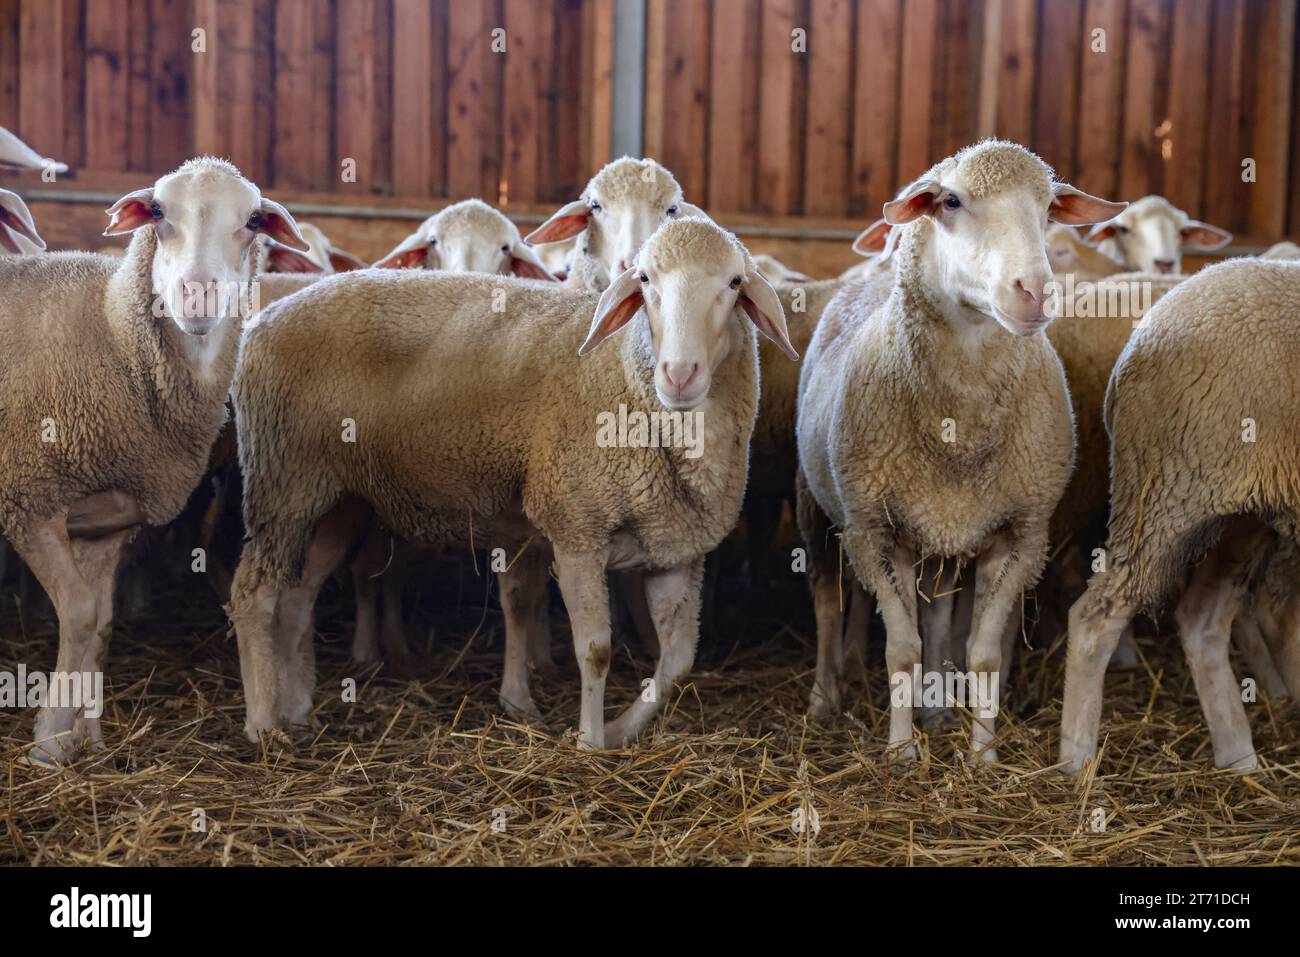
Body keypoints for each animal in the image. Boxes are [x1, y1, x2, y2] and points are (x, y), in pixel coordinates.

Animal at [0, 156, 308, 764]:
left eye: (253, 220)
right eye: (159, 212)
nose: (198, 294)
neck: (114, 335)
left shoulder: (107, 519)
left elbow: (100, 624)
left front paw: (85, 737)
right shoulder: (30, 499)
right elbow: (78, 613)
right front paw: (49, 743)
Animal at [226, 216, 797, 748]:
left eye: (735, 283)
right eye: (645, 279)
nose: (679, 374)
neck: (623, 376)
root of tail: (264, 320)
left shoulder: (672, 547)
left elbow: (677, 661)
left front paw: (619, 729)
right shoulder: (576, 528)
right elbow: (595, 649)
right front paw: (589, 741)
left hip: (339, 499)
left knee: (297, 599)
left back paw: (299, 711)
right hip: (284, 480)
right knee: (253, 595)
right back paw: (263, 724)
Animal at [795, 140, 1125, 761]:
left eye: (1049, 208)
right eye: (950, 201)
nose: (1035, 291)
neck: (960, 428)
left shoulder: (1020, 534)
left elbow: (982, 653)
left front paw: (983, 755)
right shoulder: (875, 531)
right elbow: (901, 649)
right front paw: (900, 755)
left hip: (943, 532)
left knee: (939, 615)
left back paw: (938, 710)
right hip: (818, 507)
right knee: (827, 603)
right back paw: (826, 699)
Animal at [1059, 258, 1300, 775]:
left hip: (1239, 513)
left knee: (1202, 620)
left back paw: (1239, 757)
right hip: (1167, 494)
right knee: (1096, 616)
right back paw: (1075, 762)